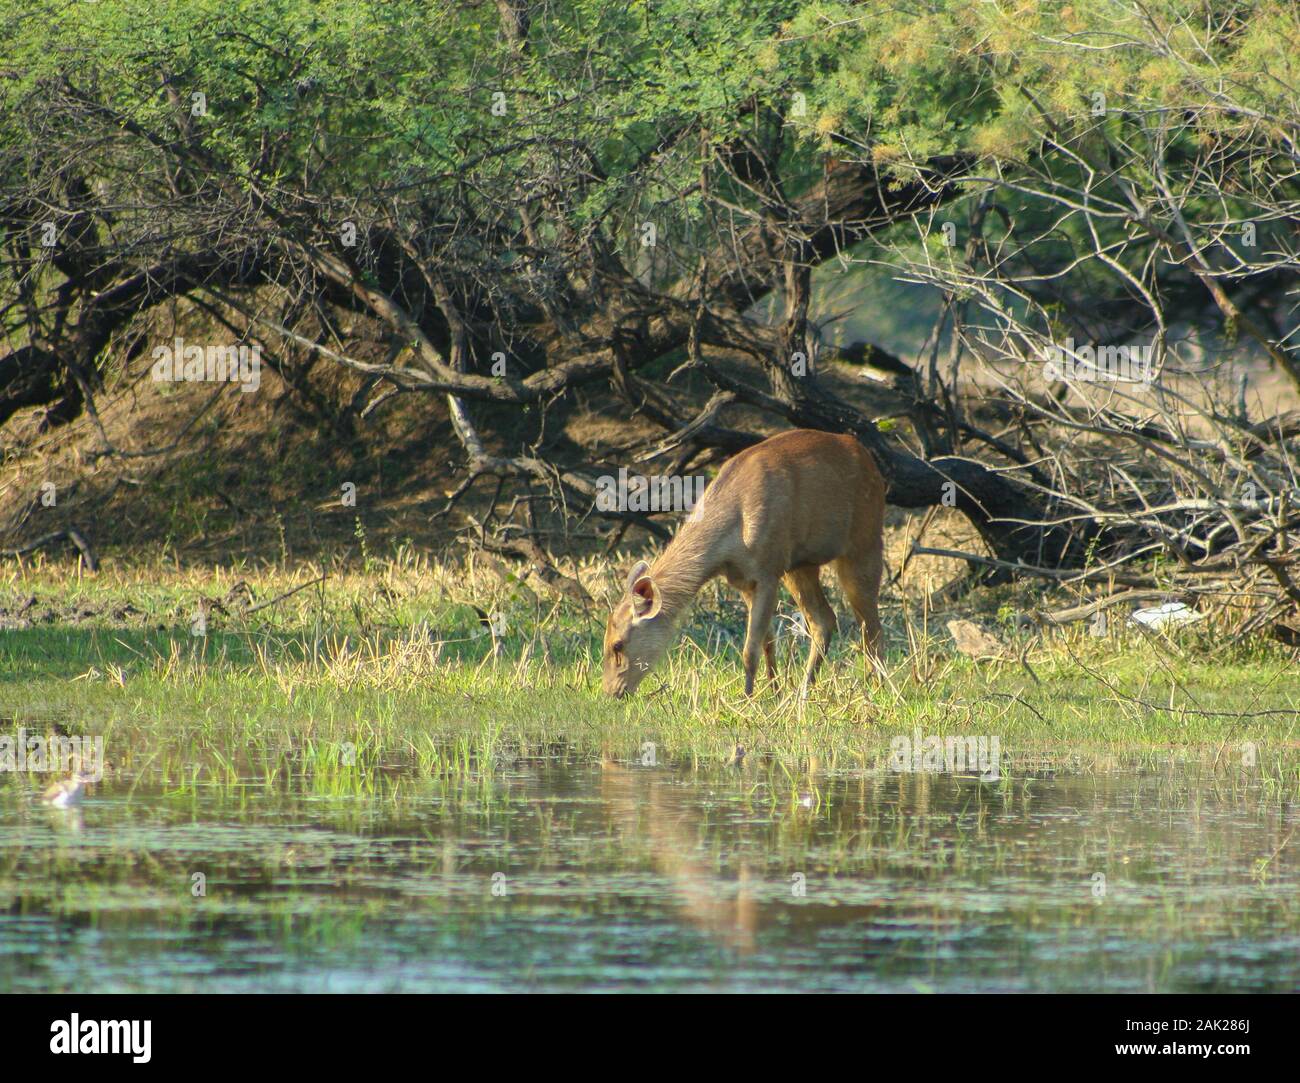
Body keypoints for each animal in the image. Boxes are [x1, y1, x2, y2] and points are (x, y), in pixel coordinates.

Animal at [601, 429, 886, 698]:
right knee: (825, 620)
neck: (729, 544)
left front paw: (748, 699)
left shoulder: (768, 571)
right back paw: (806, 691)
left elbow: (749, 650)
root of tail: (870, 462)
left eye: (618, 645)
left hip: (864, 540)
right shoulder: (744, 580)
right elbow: (766, 642)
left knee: (871, 625)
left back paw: (878, 687)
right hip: (800, 565)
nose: (612, 692)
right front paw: (774, 691)